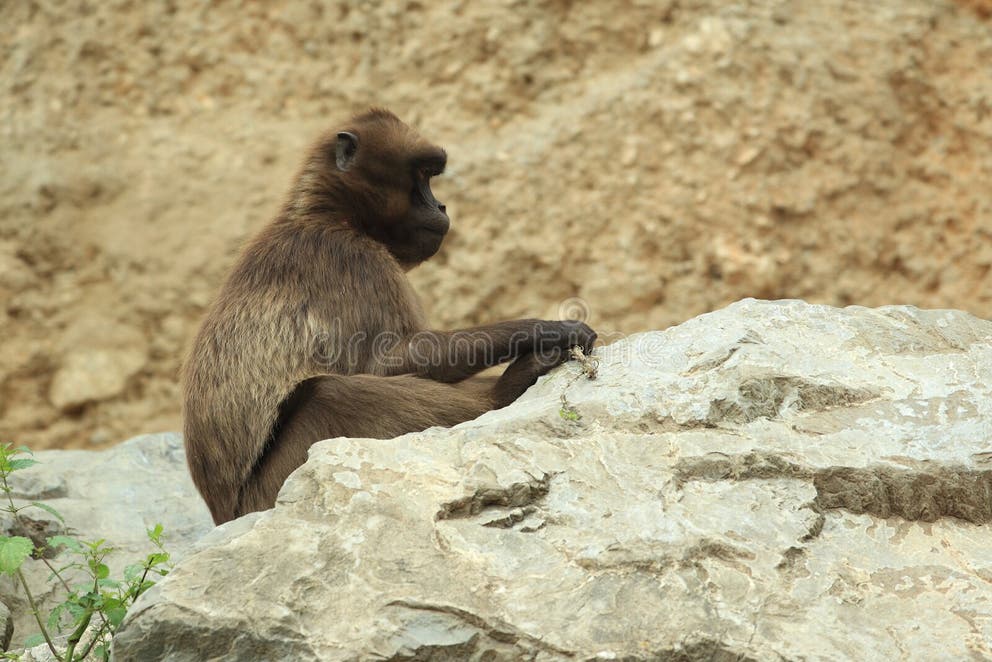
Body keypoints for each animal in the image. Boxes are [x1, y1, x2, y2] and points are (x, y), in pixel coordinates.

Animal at [183, 109, 597, 525]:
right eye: (423, 173)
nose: (441, 207)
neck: (330, 213)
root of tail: (228, 514)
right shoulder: (355, 260)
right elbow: (384, 364)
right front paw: (546, 331)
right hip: (277, 486)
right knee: (330, 395)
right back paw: (502, 394)